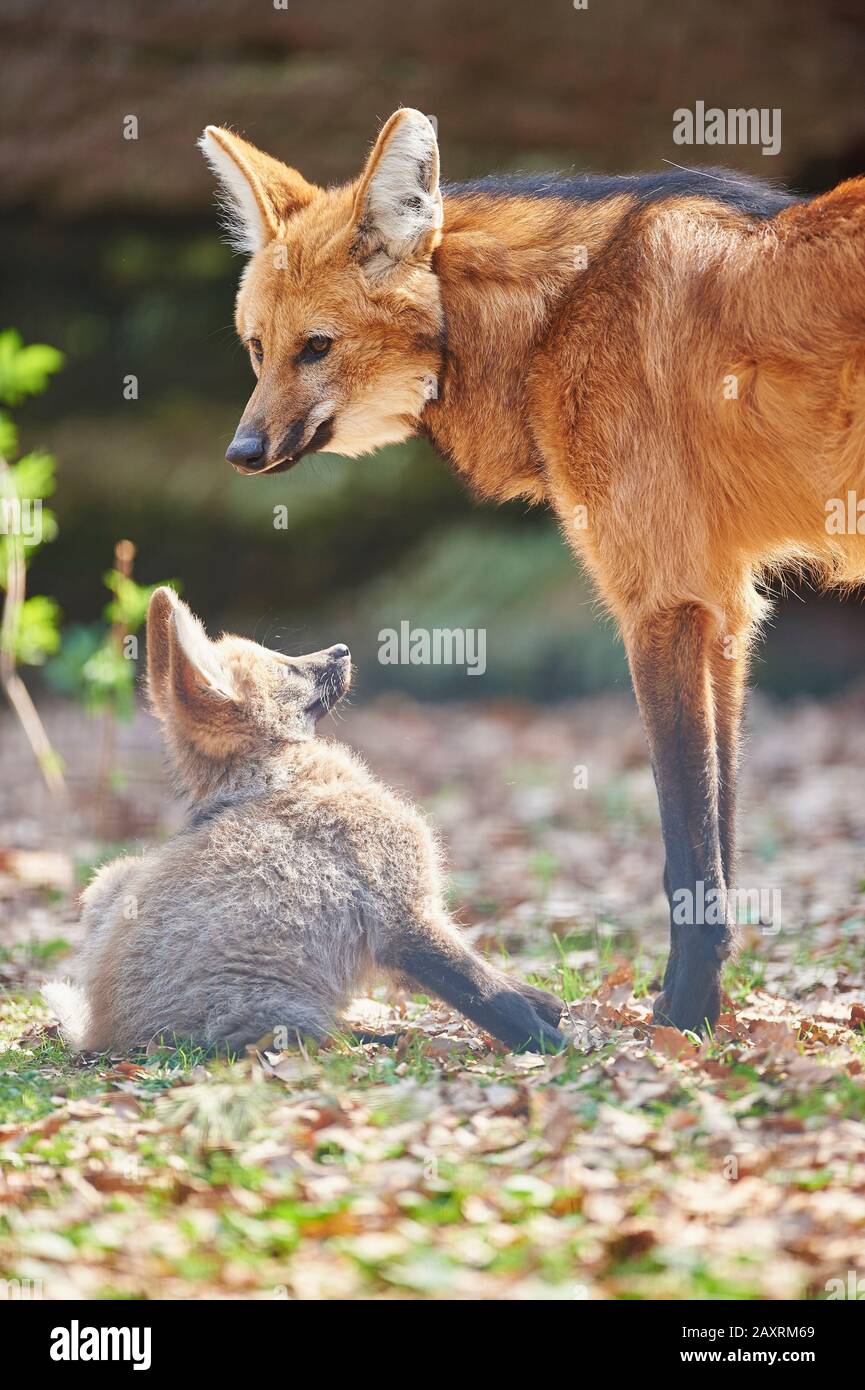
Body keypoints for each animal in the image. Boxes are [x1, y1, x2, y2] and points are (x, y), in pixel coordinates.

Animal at [44, 588, 564, 1054]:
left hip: (112, 876)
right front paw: (555, 1046)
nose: (342, 648)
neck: (285, 779)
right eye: (287, 666)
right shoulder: (401, 918)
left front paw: (549, 1006)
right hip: (274, 1016)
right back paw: (388, 1039)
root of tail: (98, 1035)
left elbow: (495, 978)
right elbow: (487, 993)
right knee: (329, 1039)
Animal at [198, 109, 865, 1034]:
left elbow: (686, 847)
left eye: (317, 348)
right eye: (258, 349)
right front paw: (708, 1011)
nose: (242, 451)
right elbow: (721, 834)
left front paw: (679, 1022)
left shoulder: (662, 601)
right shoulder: (725, 607)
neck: (552, 320)